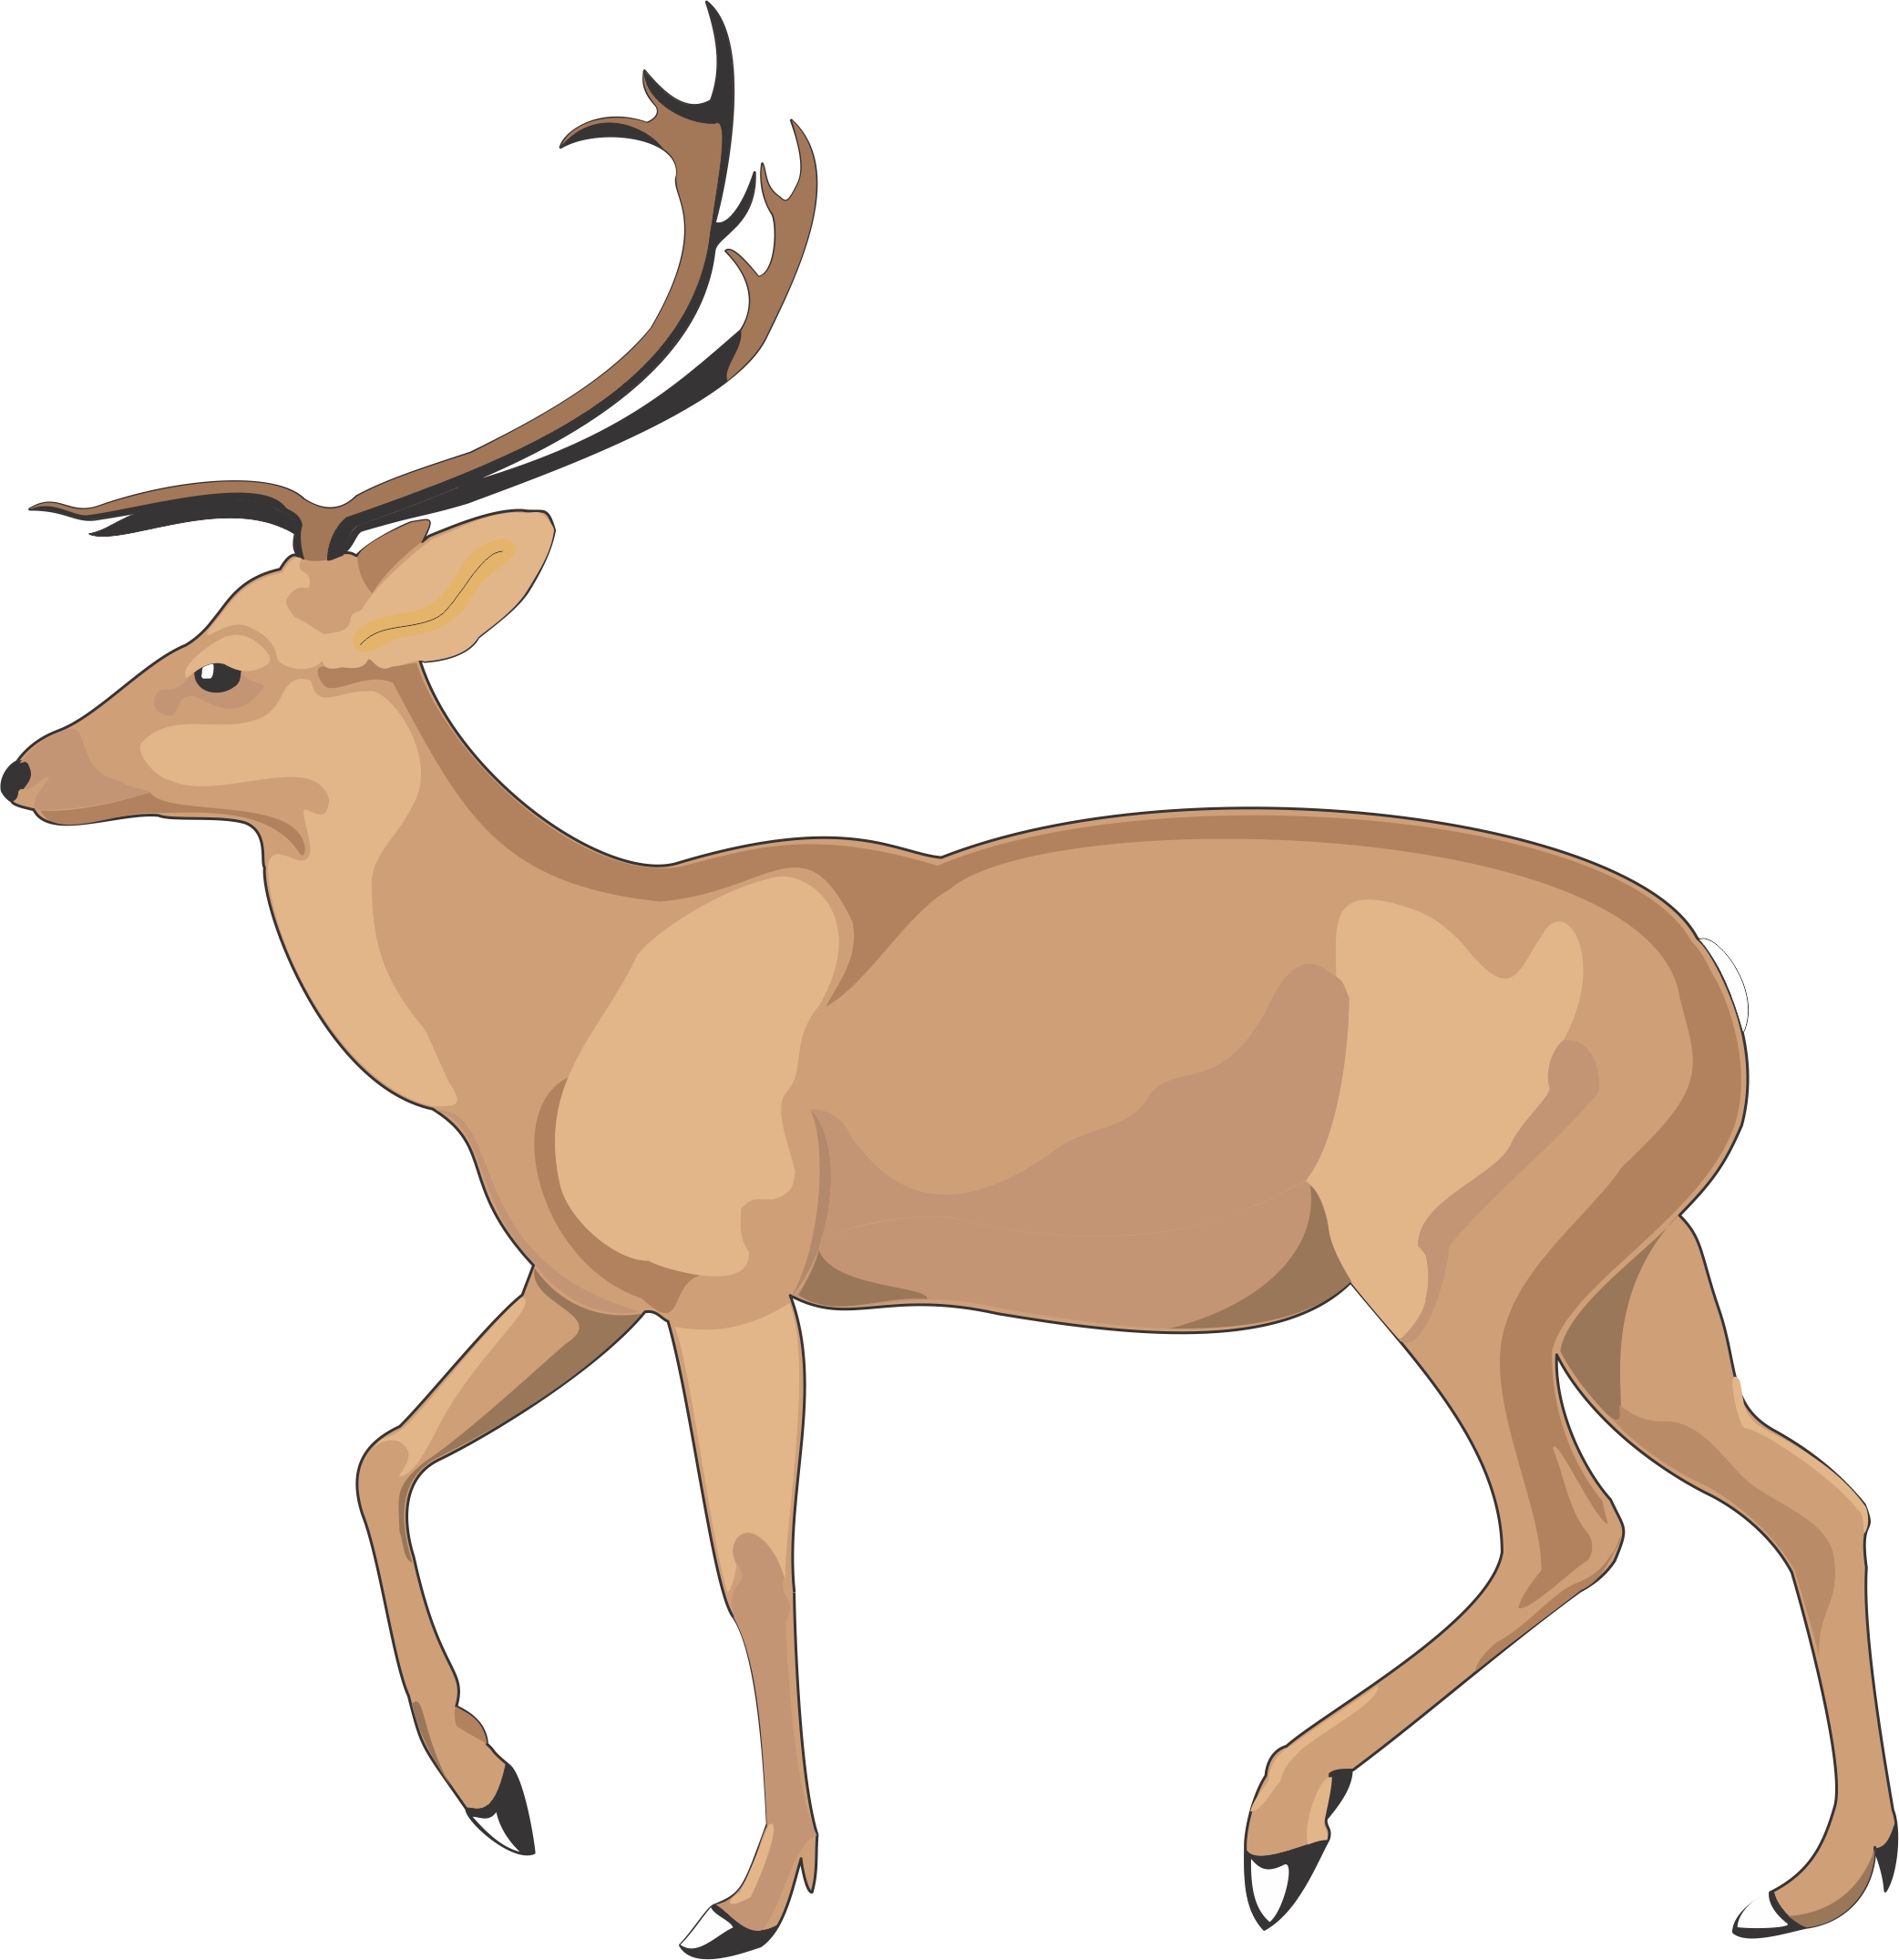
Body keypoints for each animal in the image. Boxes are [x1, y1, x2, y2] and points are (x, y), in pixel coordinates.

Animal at [7, 6, 1892, 1951]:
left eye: (220, 667)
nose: (26, 770)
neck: (550, 997)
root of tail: (1718, 1008)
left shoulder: (730, 1279)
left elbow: (747, 1558)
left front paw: (748, 1891)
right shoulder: (583, 1281)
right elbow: (383, 1447)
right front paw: (500, 1798)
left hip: (1453, 1255)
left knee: (1567, 1526)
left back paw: (1277, 1824)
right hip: (1630, 1267)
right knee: (1810, 1493)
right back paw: (1802, 1877)